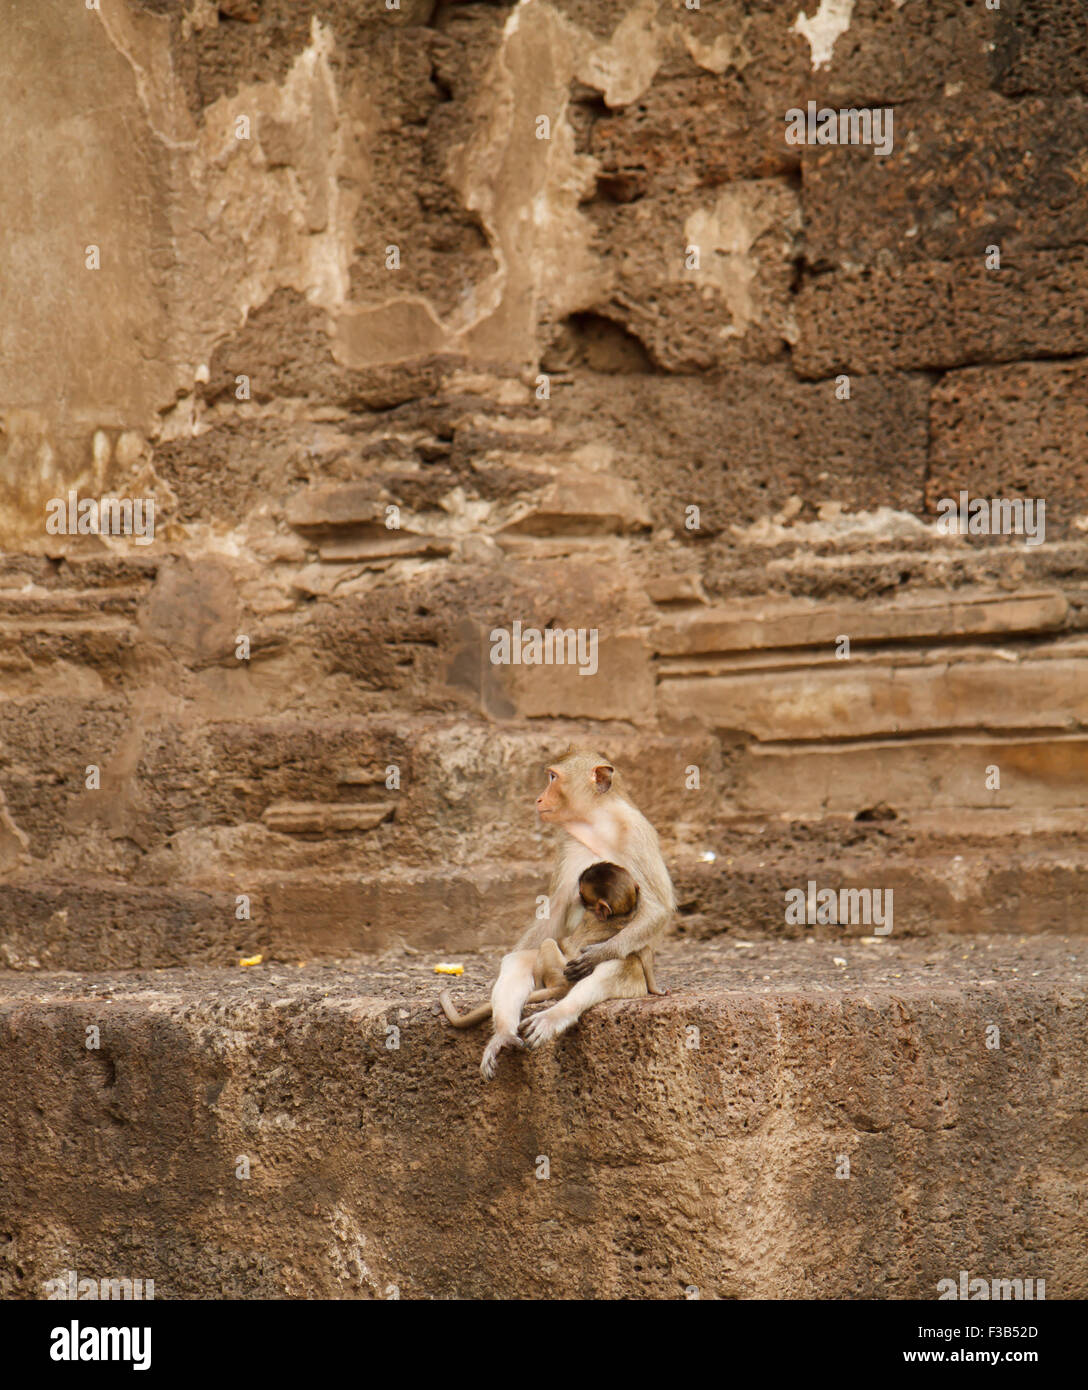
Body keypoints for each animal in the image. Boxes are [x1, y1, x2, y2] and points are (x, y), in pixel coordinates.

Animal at [441, 862, 641, 1030]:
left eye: (583, 894)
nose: (578, 898)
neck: (617, 915)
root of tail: (564, 986)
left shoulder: (589, 917)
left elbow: (566, 943)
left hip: (557, 972)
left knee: (548, 943)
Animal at [478, 749, 675, 1080]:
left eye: (552, 777)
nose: (538, 798)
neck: (598, 824)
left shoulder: (638, 833)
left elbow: (658, 908)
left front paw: (599, 953)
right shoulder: (568, 846)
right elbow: (554, 912)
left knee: (617, 966)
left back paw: (557, 1014)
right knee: (519, 960)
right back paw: (504, 1032)